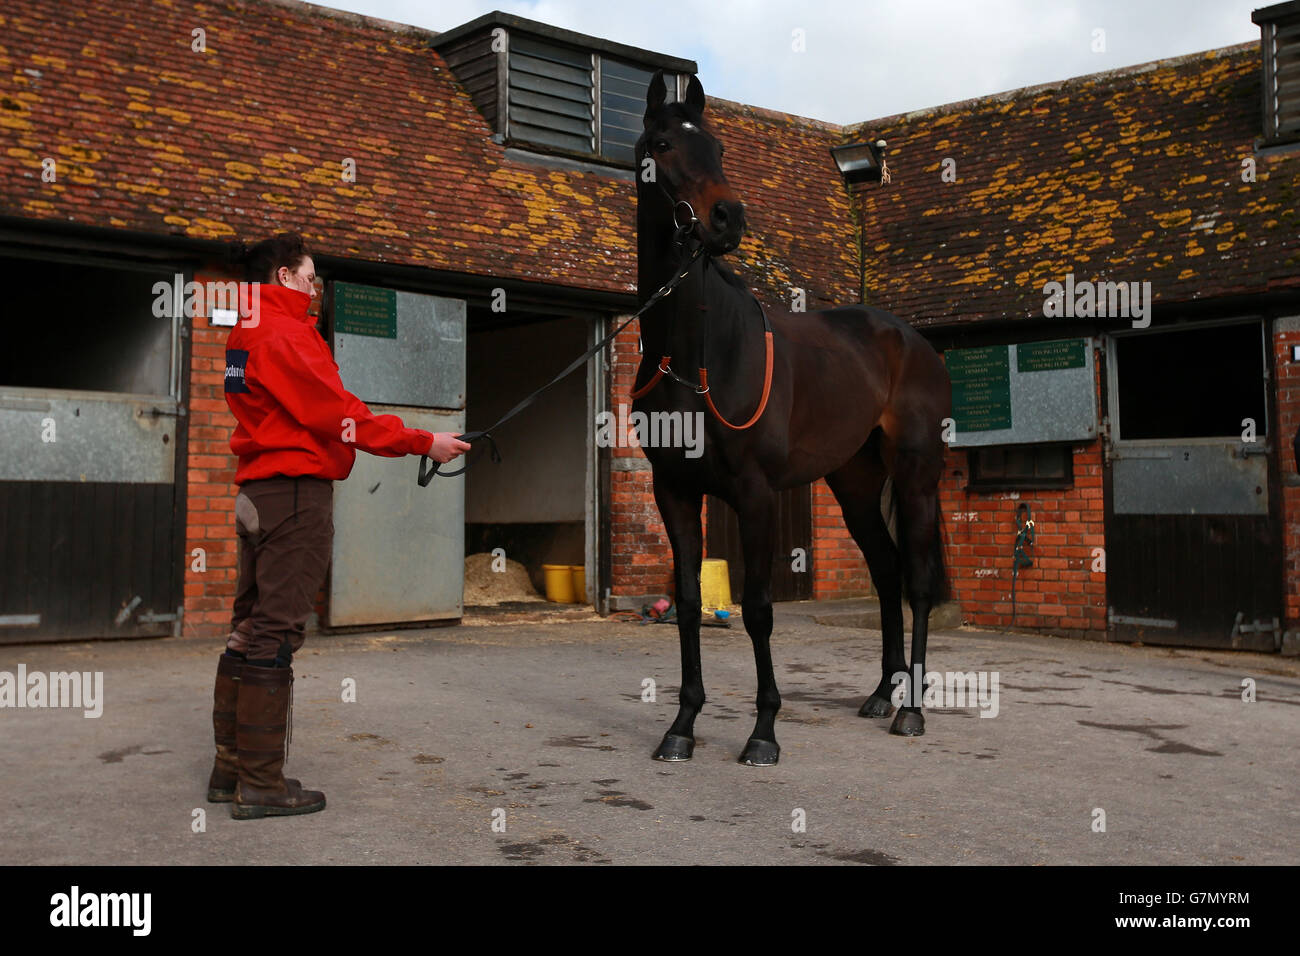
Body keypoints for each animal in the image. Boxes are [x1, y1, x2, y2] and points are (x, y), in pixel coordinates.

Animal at [630, 71, 952, 765]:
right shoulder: (674, 490)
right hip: (854, 485)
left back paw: (910, 710)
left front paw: (763, 733)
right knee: (885, 571)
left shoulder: (754, 494)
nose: (727, 218)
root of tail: (913, 341)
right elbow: (690, 602)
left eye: (719, 147)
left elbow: (757, 609)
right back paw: (881, 694)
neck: (698, 354)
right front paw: (681, 727)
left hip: (916, 476)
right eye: (663, 143)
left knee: (915, 581)